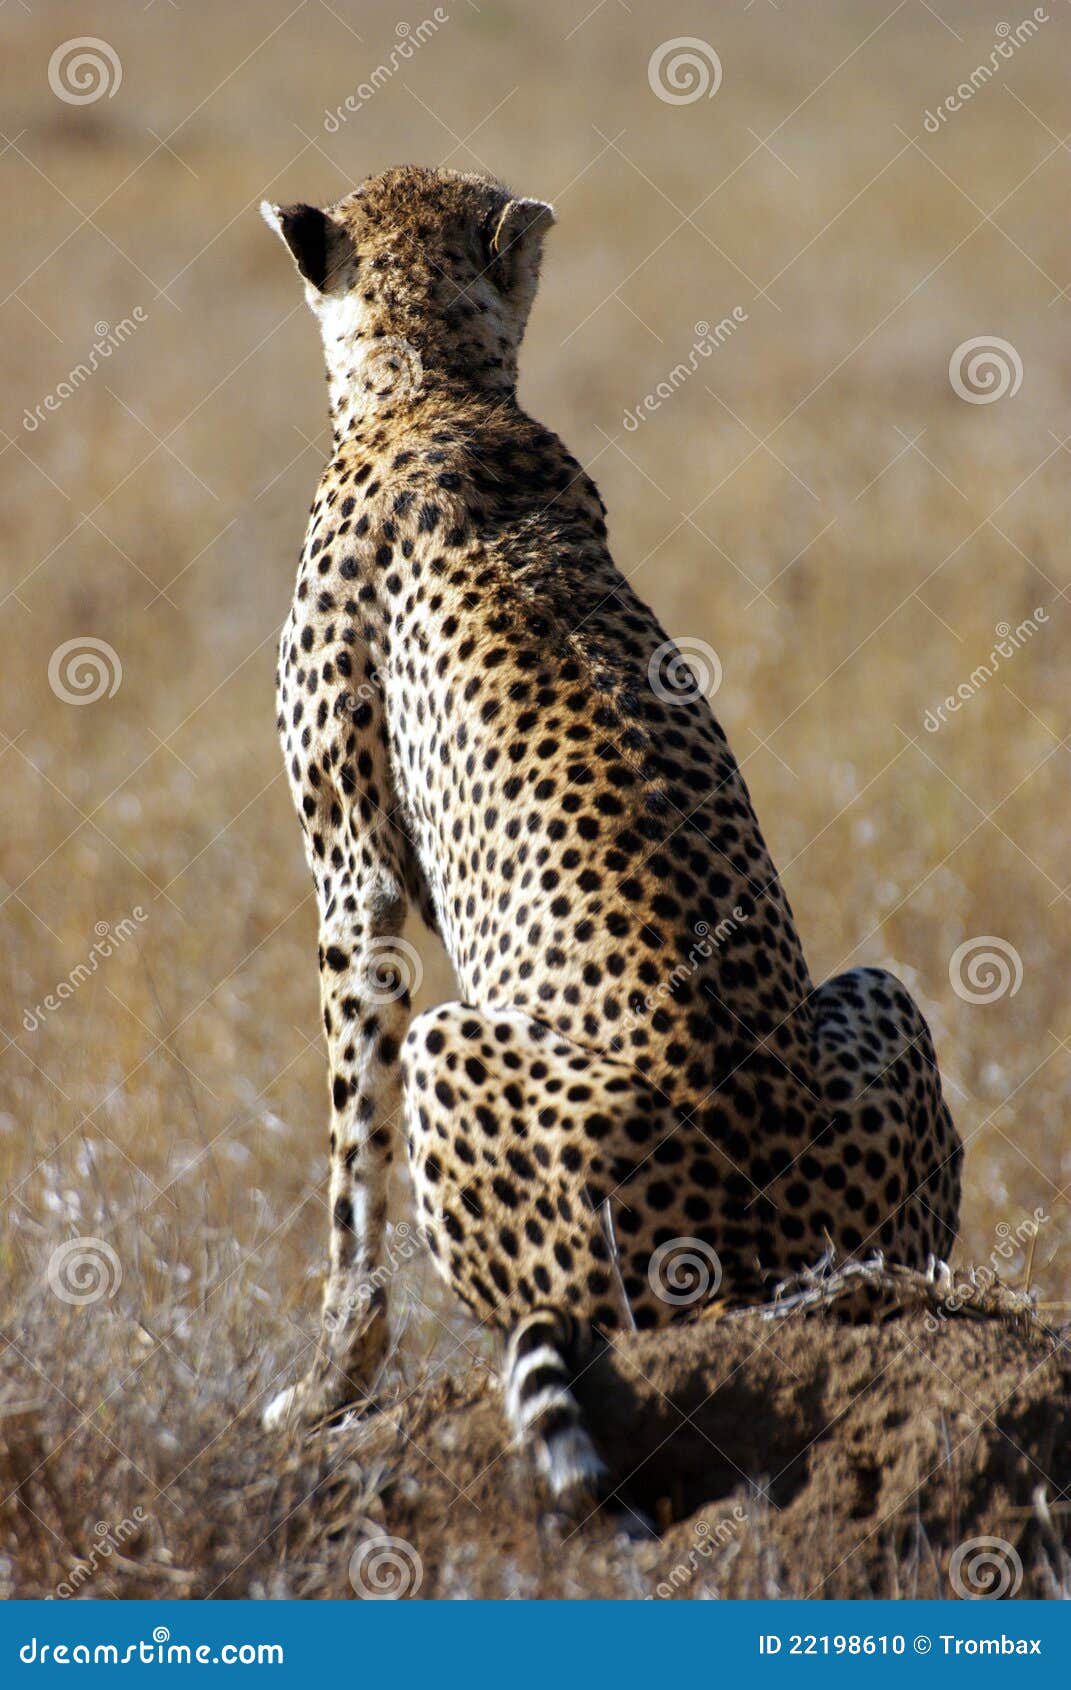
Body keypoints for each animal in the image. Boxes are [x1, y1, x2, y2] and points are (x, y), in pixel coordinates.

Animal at [259, 166, 962, 1510]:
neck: (431, 384)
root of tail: (782, 1256)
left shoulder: (355, 878)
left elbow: (349, 1168)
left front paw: (327, 1381)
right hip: (879, 1008)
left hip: (470, 1061)